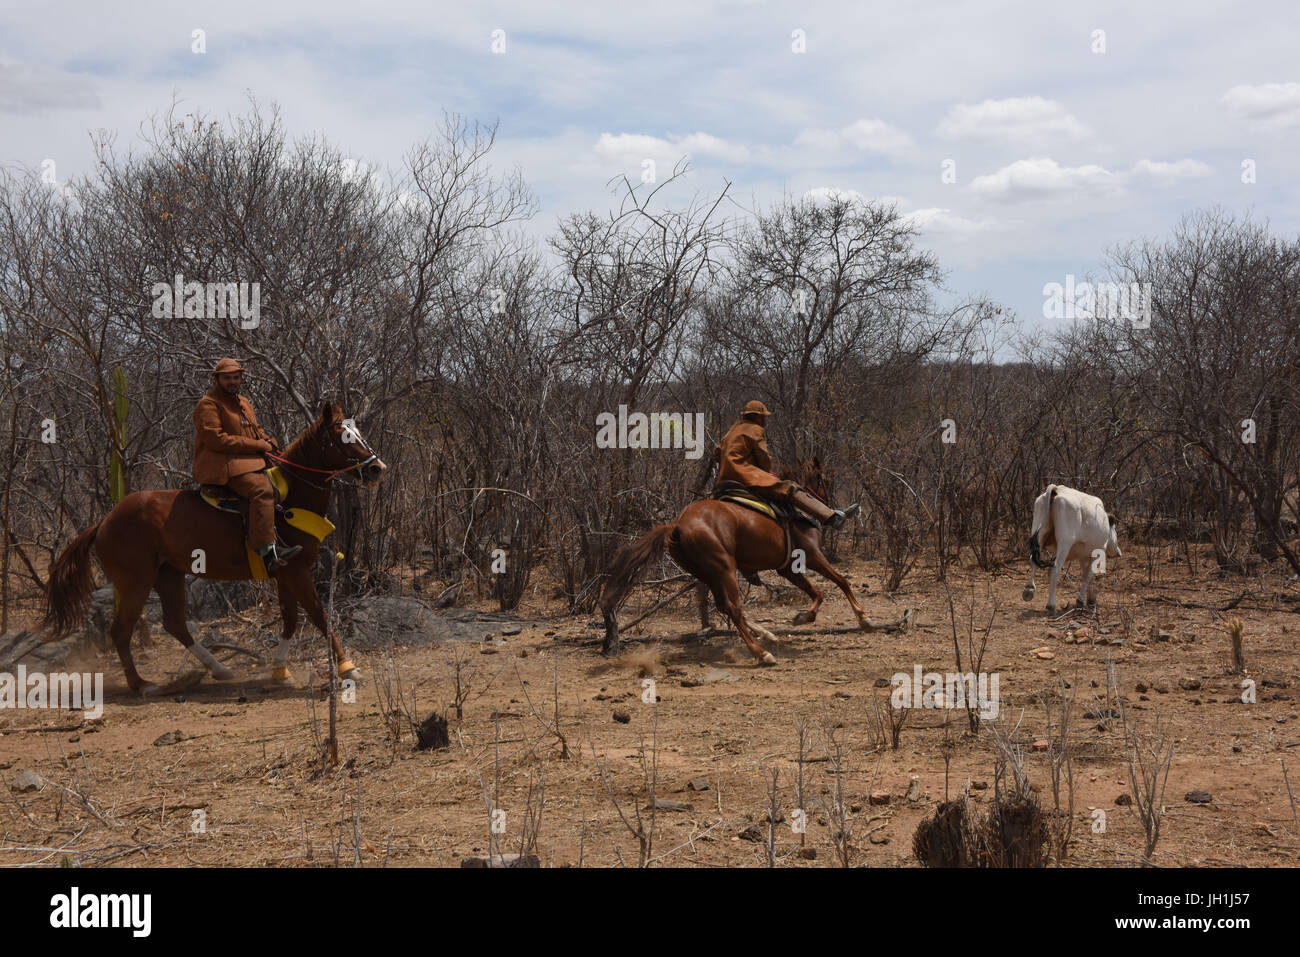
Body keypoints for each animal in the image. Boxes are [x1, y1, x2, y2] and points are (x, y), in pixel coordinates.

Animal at [42, 401, 387, 695]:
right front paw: (348, 668)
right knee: (121, 631)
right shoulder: (297, 572)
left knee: (175, 623)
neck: (290, 498)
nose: (377, 469)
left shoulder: (286, 573)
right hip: (135, 583)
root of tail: (104, 522)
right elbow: (319, 615)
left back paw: (219, 669)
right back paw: (141, 684)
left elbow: (291, 620)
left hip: (168, 575)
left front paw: (280, 671)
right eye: (344, 437)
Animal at [600, 467, 911, 664]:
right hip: (724, 569)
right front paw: (863, 619)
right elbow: (840, 581)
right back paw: (761, 653)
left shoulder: (788, 568)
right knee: (733, 608)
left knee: (725, 607)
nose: (828, 503)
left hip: (708, 574)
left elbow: (818, 592)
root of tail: (676, 525)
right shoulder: (811, 555)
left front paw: (803, 617)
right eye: (822, 481)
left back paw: (768, 636)